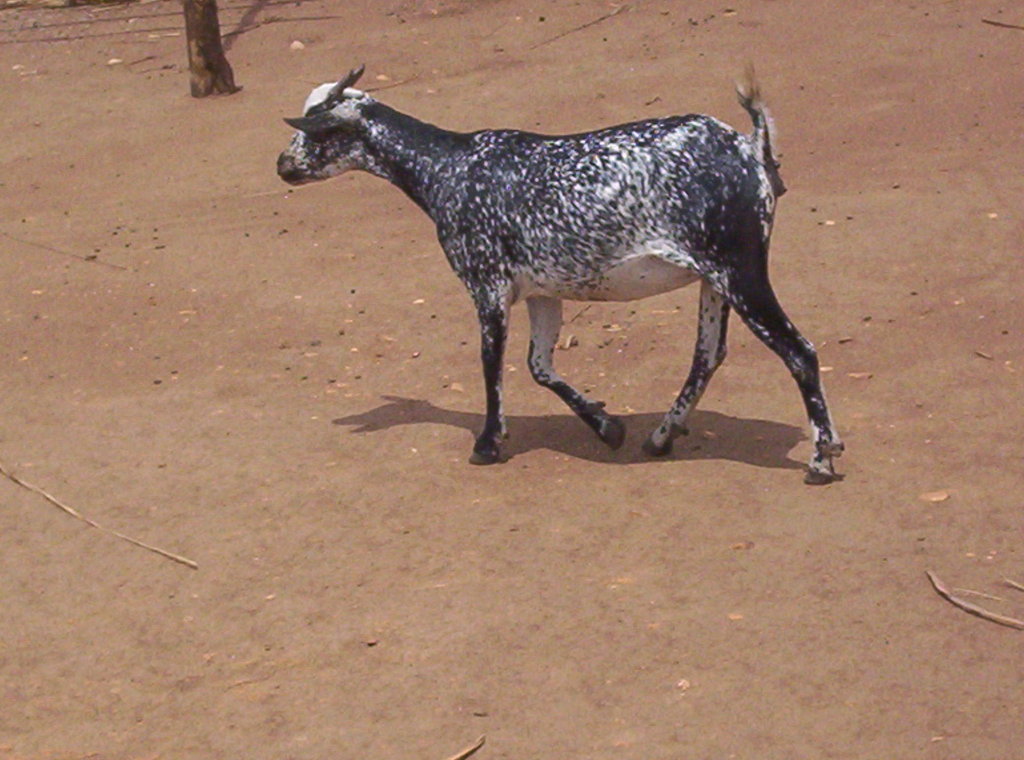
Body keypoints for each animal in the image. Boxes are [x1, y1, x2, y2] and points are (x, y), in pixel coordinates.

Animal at [277, 65, 843, 484]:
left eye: (315, 131)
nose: (282, 165)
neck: (449, 169)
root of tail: (749, 146)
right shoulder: (541, 293)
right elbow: (538, 366)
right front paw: (607, 427)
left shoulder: (487, 286)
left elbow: (491, 363)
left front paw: (488, 443)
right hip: (714, 279)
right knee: (708, 356)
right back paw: (660, 437)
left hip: (739, 268)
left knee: (799, 351)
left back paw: (821, 457)